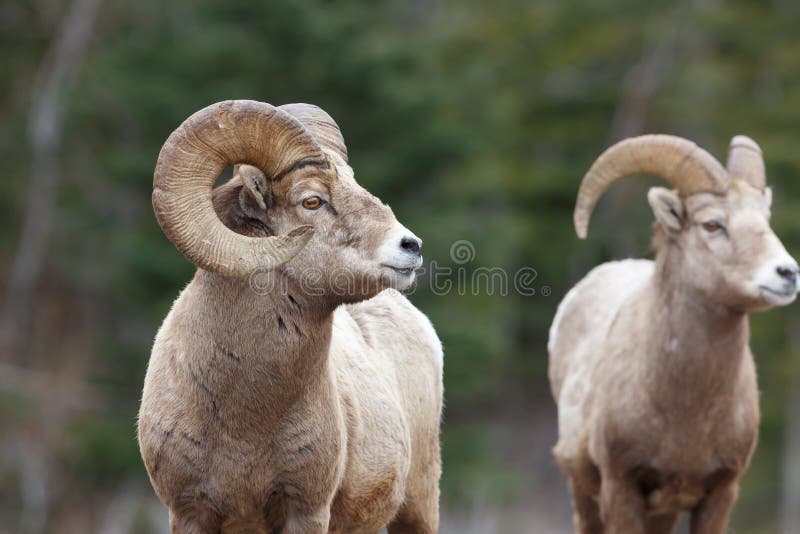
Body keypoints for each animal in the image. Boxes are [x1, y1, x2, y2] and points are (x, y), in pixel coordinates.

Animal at [137, 100, 443, 534]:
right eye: (312, 201)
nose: (410, 246)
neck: (244, 418)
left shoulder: (306, 511)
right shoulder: (189, 513)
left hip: (418, 506)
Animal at [548, 134, 799, 534]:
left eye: (766, 219)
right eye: (711, 225)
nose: (787, 273)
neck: (686, 411)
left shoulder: (721, 493)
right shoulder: (621, 489)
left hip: (661, 514)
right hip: (583, 493)